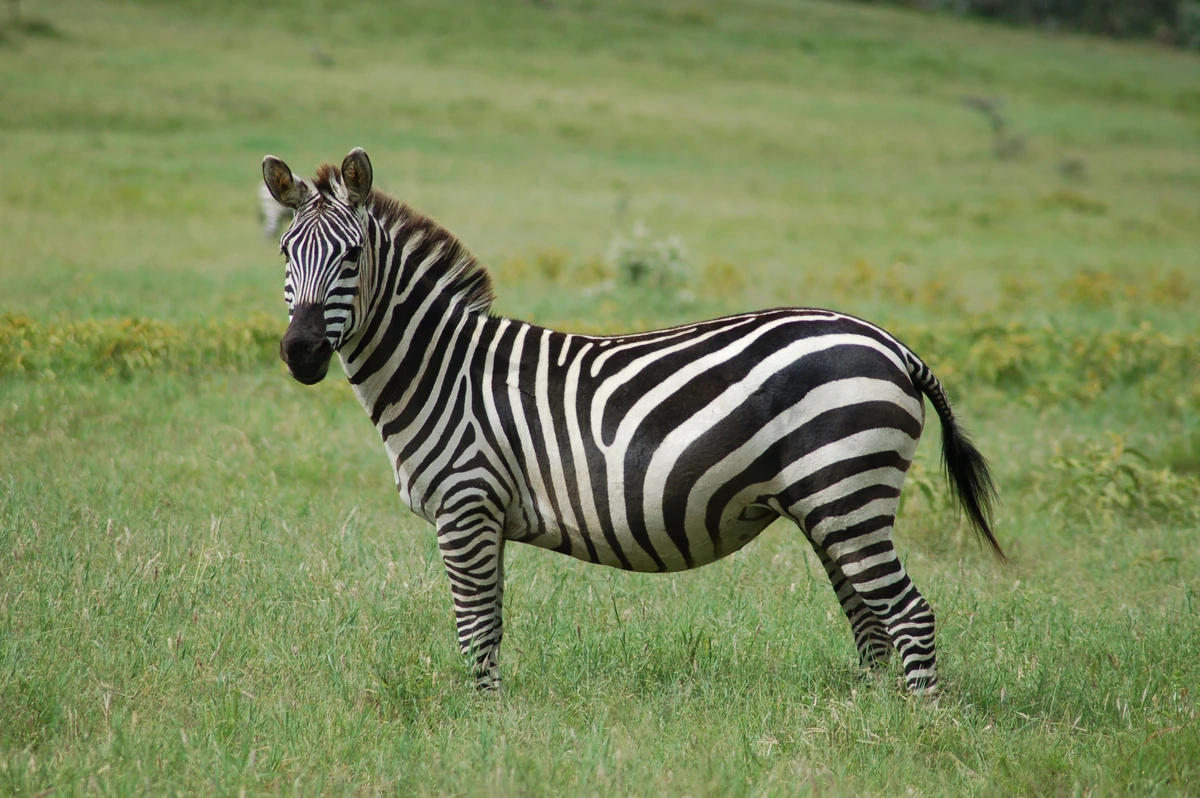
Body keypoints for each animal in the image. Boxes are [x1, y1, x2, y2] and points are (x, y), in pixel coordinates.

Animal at [262, 147, 1003, 696]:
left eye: (352, 257)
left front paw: (484, 725)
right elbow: (490, 625)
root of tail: (893, 344)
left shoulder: (466, 505)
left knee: (909, 614)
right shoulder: (486, 515)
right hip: (830, 501)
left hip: (847, 490)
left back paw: (916, 726)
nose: (301, 353)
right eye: (285, 254)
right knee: (869, 616)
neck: (443, 370)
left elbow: (475, 630)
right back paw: (866, 714)